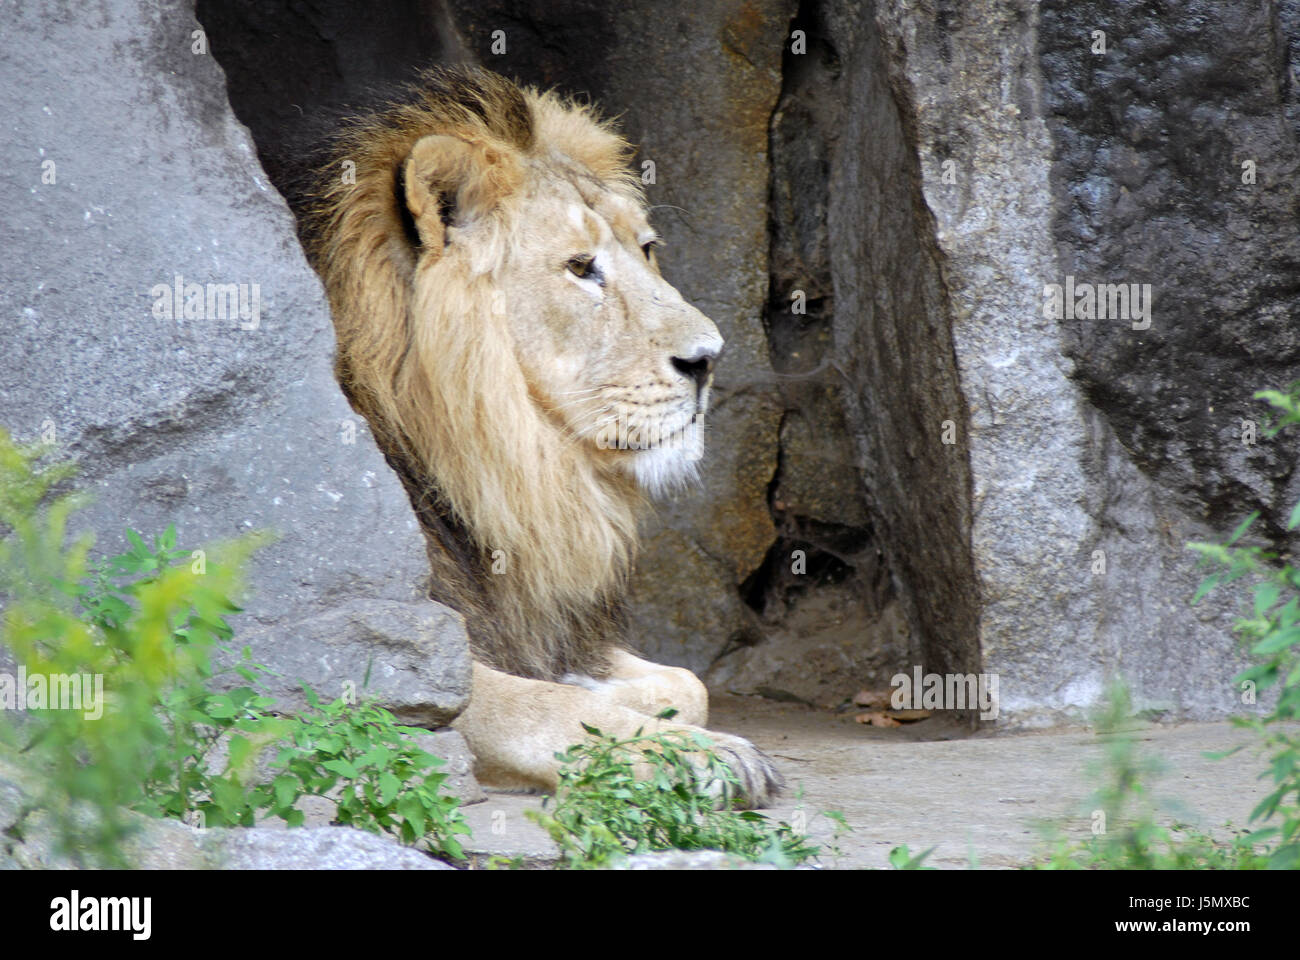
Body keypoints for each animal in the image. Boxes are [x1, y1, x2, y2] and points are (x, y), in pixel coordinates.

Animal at [303, 67, 782, 806]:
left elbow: (688, 683)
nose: (708, 360)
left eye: (647, 249)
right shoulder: (387, 663)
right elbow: (550, 707)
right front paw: (703, 756)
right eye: (581, 268)